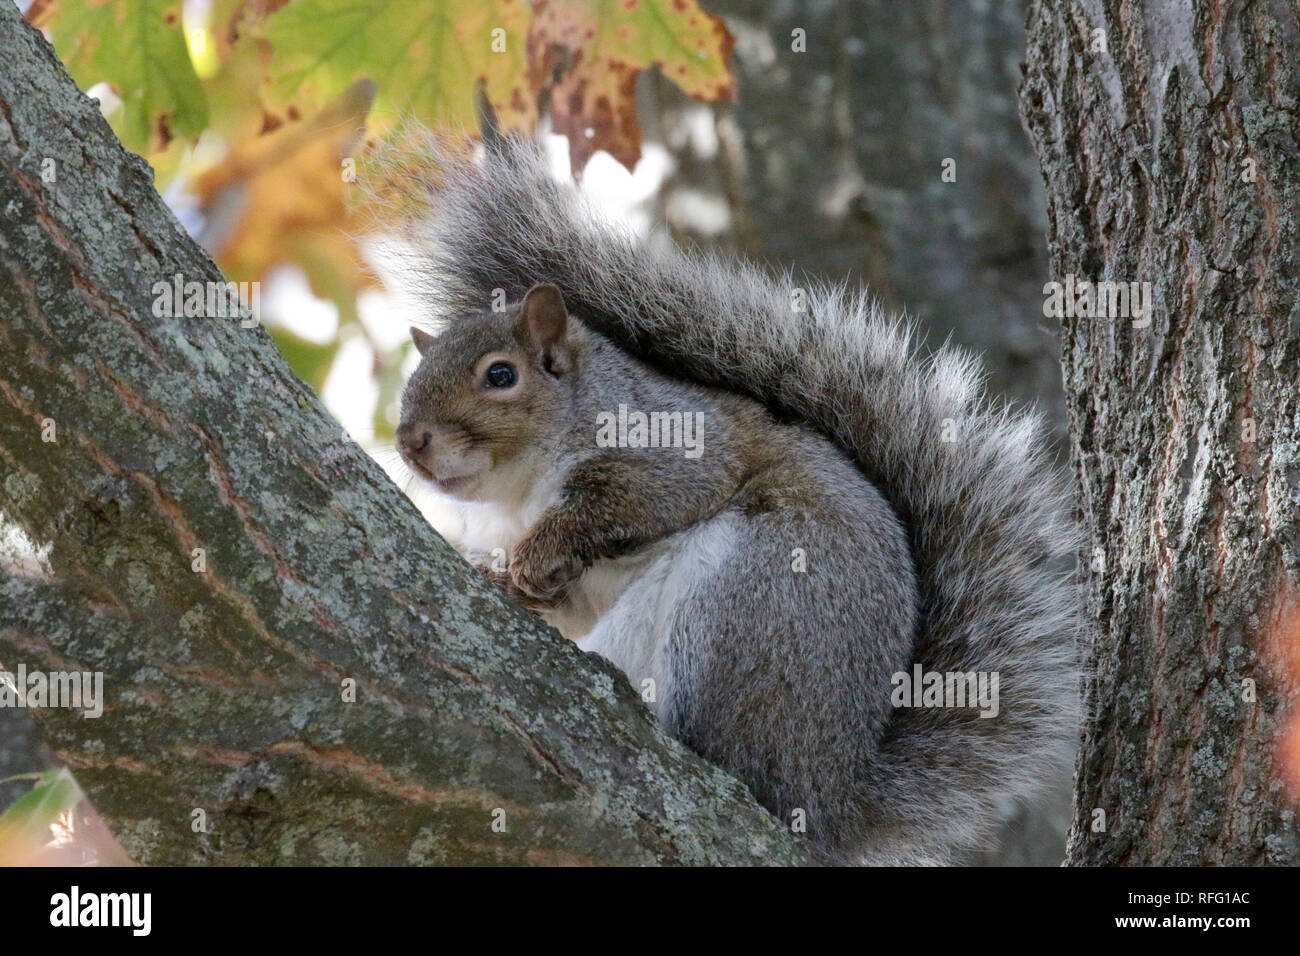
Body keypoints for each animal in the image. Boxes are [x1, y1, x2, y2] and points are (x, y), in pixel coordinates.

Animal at [388, 135, 1080, 865]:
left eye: (500, 375)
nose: (410, 441)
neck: (519, 490)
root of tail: (825, 801)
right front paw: (504, 575)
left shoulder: (679, 445)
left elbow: (640, 498)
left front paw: (542, 547)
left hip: (746, 600)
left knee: (723, 748)